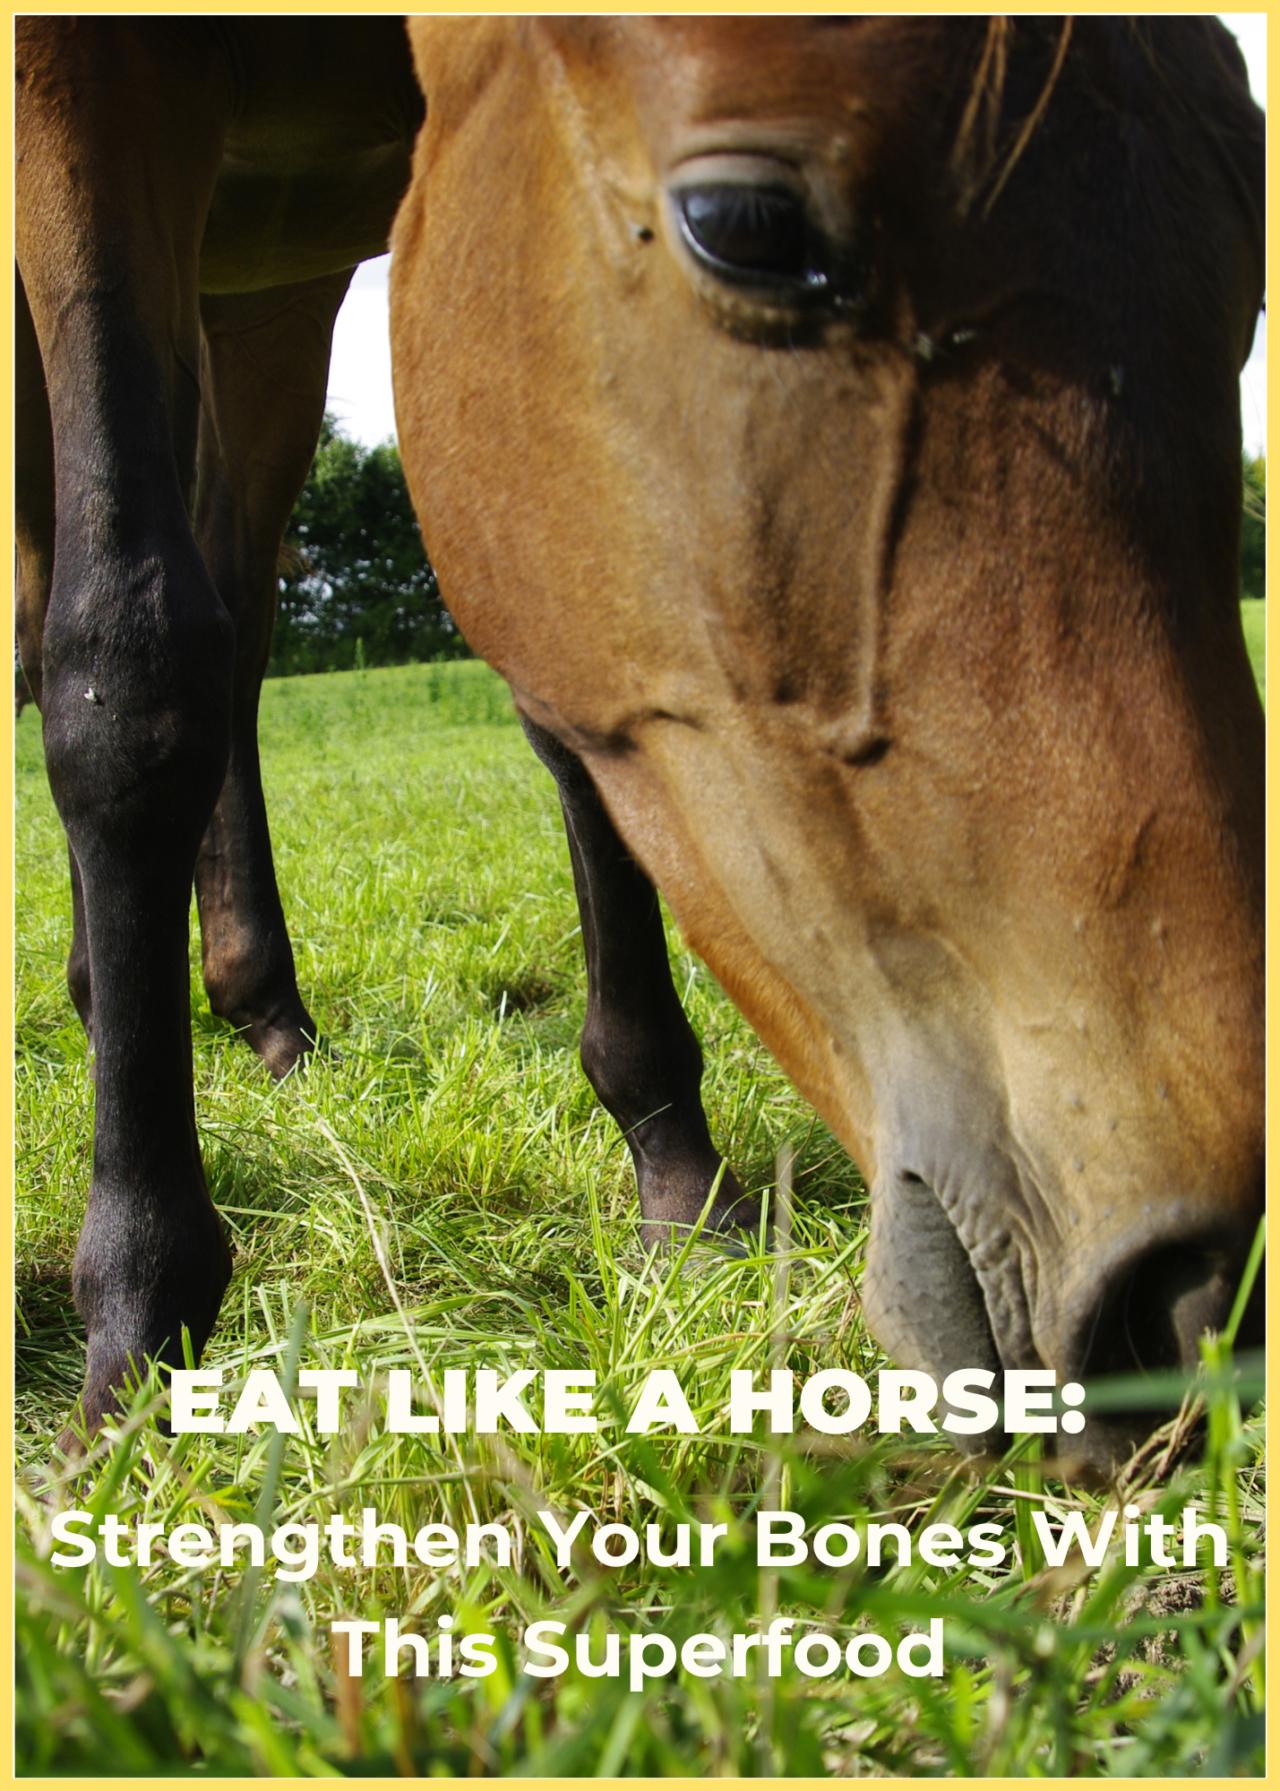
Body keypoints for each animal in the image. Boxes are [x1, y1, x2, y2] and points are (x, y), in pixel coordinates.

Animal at [16, 14, 752, 1456]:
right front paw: (135, 1316)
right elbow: (112, 658)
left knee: (237, 610)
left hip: (265, 294)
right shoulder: (70, 82)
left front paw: (673, 1161)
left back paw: (254, 1006)